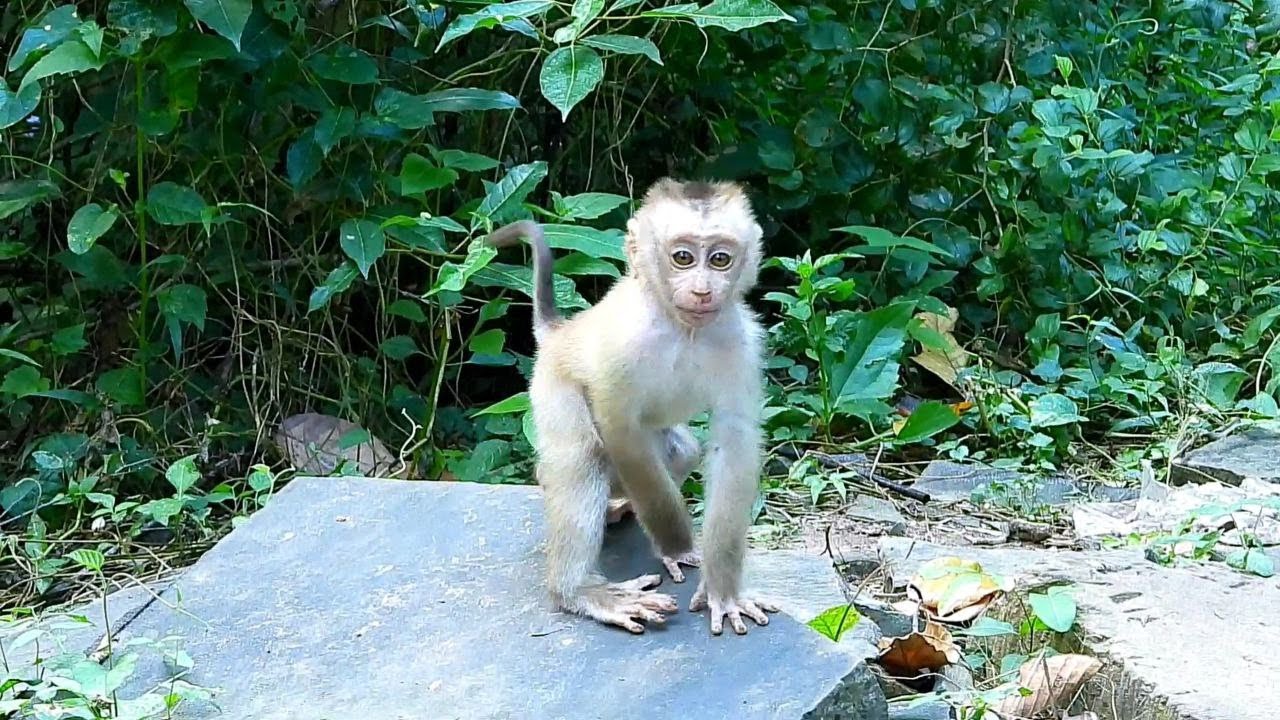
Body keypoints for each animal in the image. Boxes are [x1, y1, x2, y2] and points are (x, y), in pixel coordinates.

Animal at [484, 179, 779, 636]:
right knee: (582, 456)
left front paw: (724, 589)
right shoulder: (623, 342)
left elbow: (734, 440)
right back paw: (579, 591)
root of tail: (560, 332)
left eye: (720, 259)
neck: (680, 328)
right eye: (682, 257)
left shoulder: (742, 342)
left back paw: (618, 504)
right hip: (551, 386)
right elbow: (619, 428)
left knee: (682, 450)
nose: (702, 290)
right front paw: (677, 545)